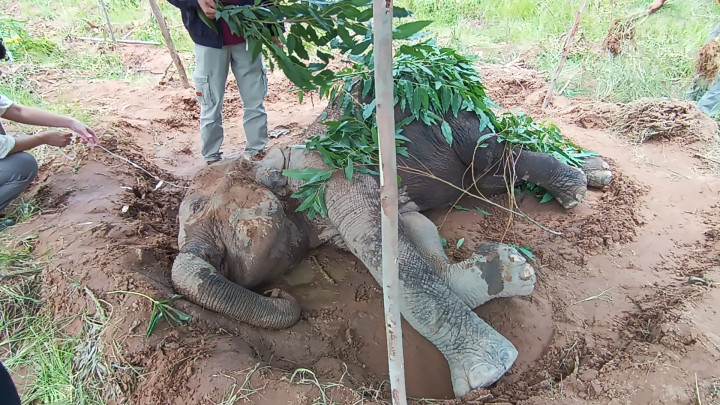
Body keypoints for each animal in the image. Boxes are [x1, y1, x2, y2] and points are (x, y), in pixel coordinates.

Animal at [170, 107, 612, 398]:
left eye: (197, 207)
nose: (279, 293)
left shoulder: (336, 175)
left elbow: (386, 250)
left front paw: (488, 376)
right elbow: (416, 229)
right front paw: (510, 271)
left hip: (459, 123)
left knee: (492, 158)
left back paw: (575, 189)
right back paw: (597, 173)